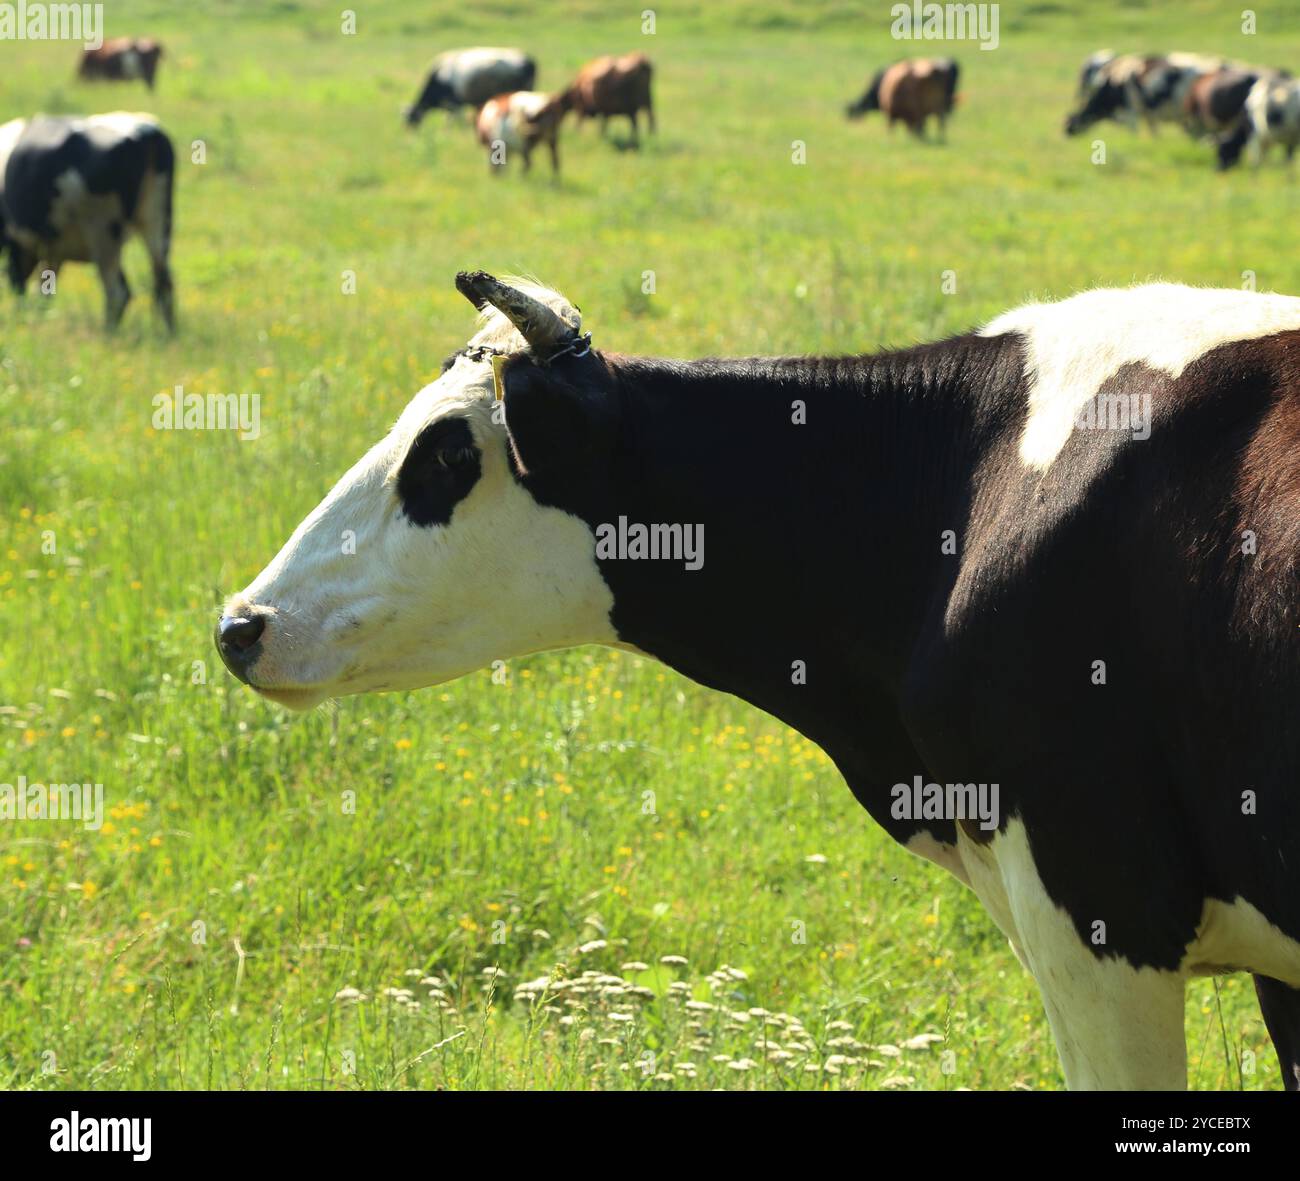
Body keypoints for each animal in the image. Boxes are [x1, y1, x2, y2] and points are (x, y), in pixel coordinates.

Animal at [0, 113, 175, 331]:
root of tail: (147, 134)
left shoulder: (16, 243)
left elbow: (20, 288)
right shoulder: (51, 249)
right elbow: (44, 289)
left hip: (103, 231)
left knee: (118, 292)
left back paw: (108, 335)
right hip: (158, 223)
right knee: (164, 284)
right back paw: (169, 334)